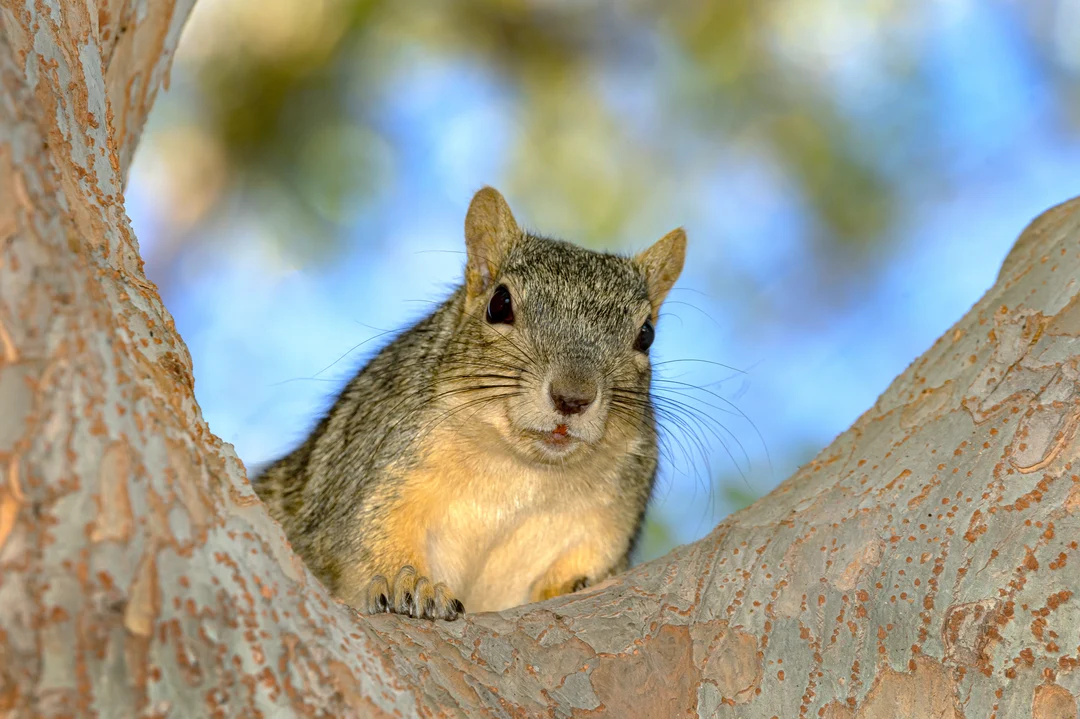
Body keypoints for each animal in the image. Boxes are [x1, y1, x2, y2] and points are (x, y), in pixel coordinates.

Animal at [253, 187, 686, 620]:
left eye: (646, 335)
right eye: (500, 303)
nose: (572, 397)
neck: (525, 469)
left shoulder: (605, 522)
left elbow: (584, 560)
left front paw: (571, 583)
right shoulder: (377, 462)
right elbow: (367, 536)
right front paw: (409, 583)